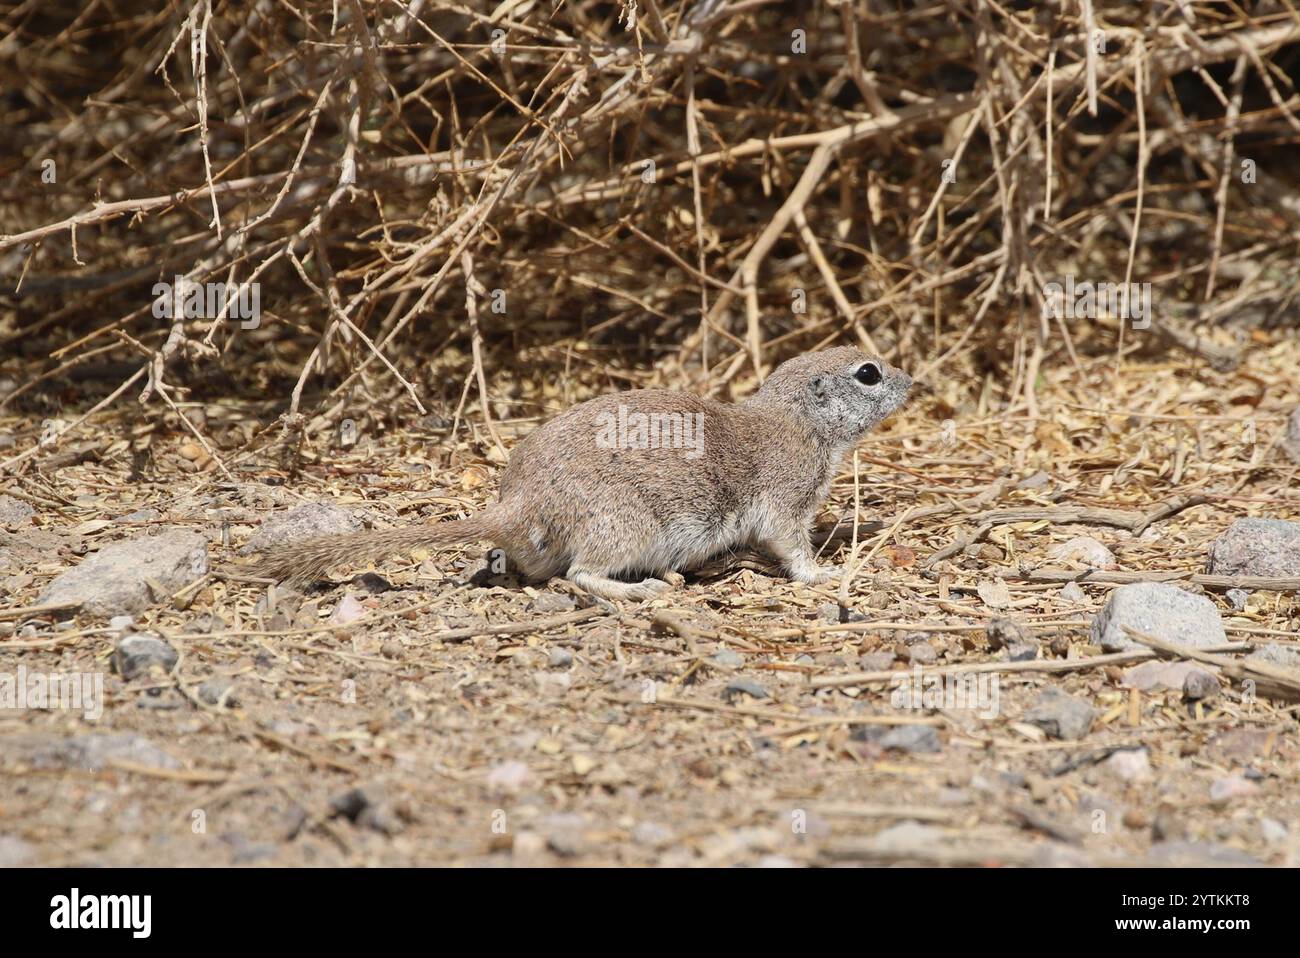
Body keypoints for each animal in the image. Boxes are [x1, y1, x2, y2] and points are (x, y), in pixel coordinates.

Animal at [251, 347, 913, 600]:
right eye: (869, 373)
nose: (913, 381)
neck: (797, 418)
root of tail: (515, 506)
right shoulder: (788, 501)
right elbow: (792, 549)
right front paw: (828, 574)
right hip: (629, 528)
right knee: (581, 576)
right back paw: (642, 588)